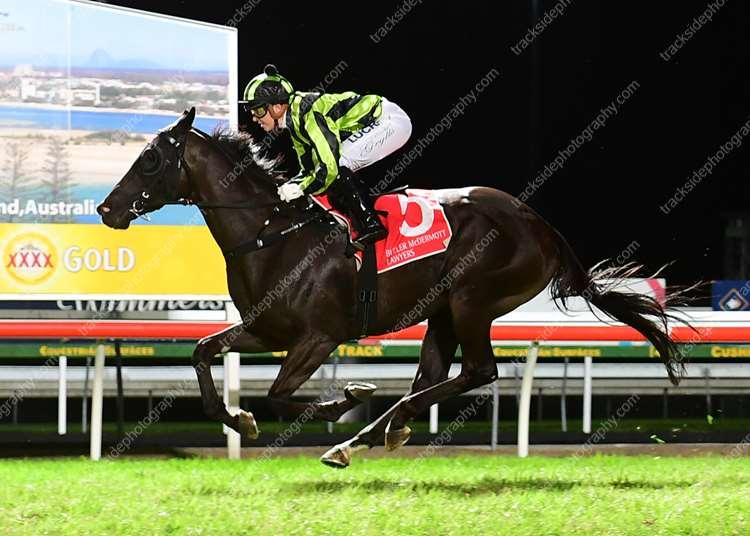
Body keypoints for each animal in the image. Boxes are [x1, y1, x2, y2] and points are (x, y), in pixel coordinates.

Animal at [97, 107, 692, 468]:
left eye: (149, 158)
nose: (106, 209)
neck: (272, 232)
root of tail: (540, 224)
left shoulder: (320, 335)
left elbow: (280, 394)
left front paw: (346, 397)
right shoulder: (266, 328)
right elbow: (203, 351)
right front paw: (237, 418)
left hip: (472, 300)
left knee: (478, 372)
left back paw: (371, 427)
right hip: (442, 311)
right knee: (434, 376)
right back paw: (371, 435)